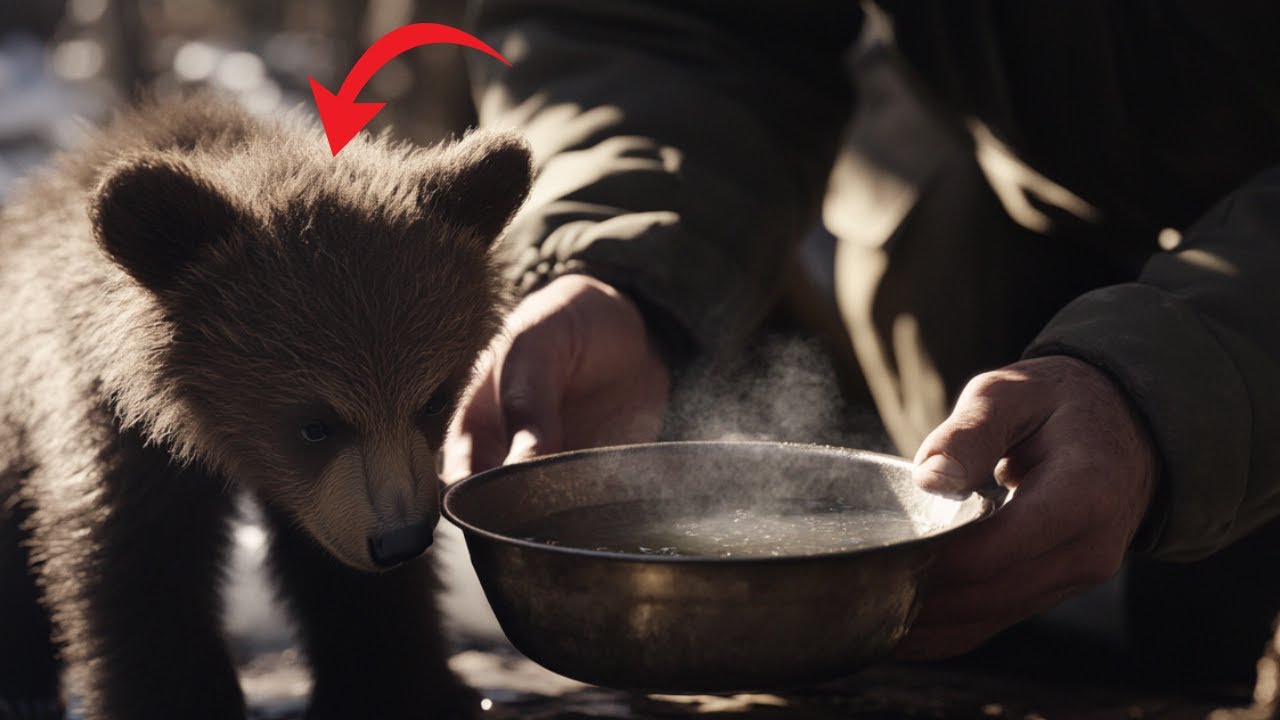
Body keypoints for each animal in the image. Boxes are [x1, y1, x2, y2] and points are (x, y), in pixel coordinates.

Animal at [0, 93, 532, 720]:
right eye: (313, 424)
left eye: (434, 399)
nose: (399, 540)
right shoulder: (108, 421)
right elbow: (137, 560)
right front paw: (176, 695)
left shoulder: (347, 489)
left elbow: (343, 576)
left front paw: (400, 685)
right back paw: (23, 685)